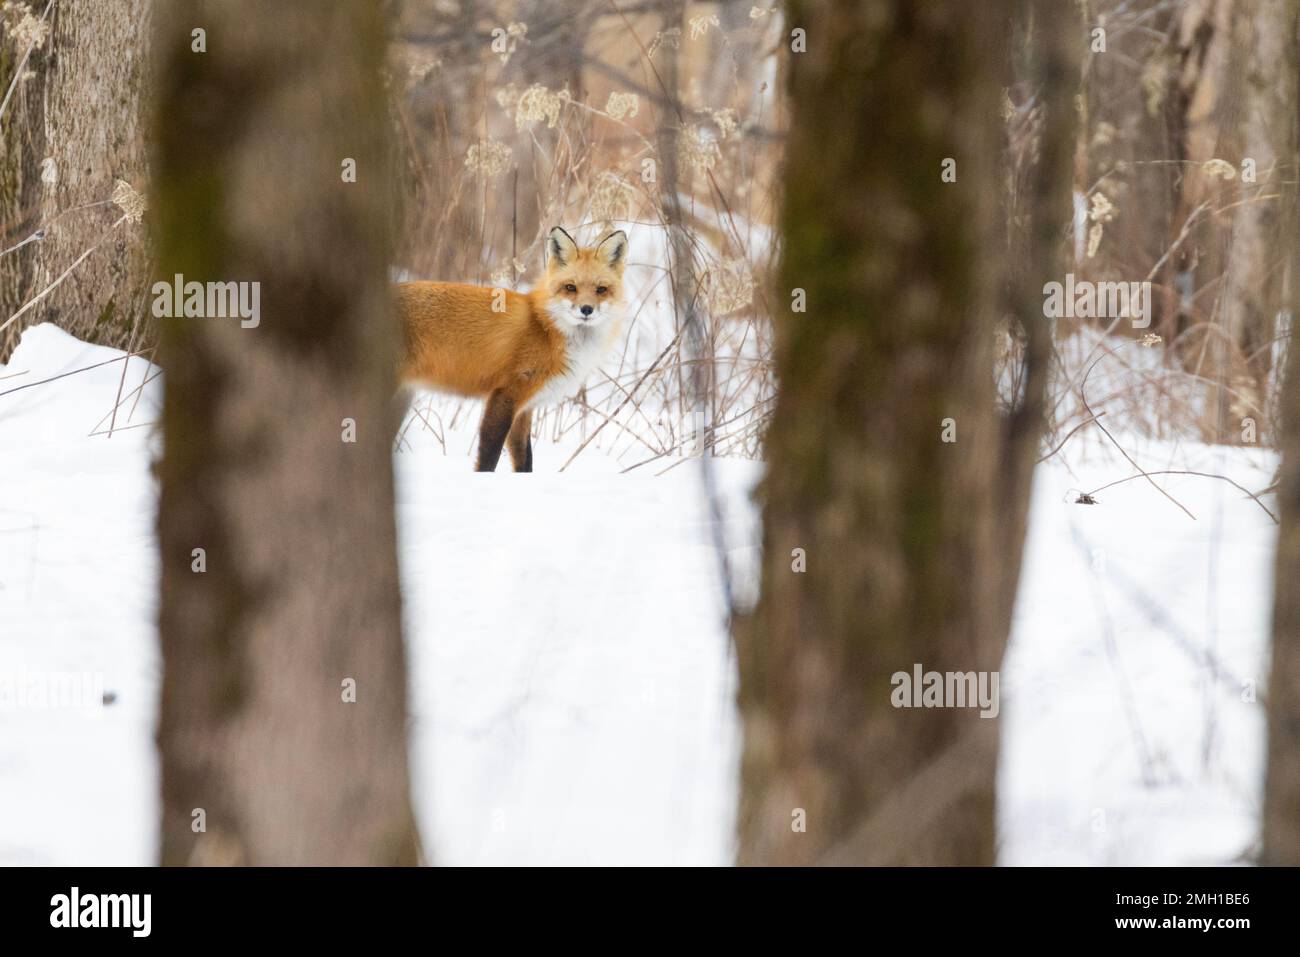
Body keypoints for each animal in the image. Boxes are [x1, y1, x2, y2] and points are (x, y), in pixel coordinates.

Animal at [393, 226, 628, 472]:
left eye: (601, 289)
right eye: (570, 287)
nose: (586, 309)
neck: (546, 329)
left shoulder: (524, 409)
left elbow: (525, 460)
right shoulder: (505, 395)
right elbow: (489, 458)